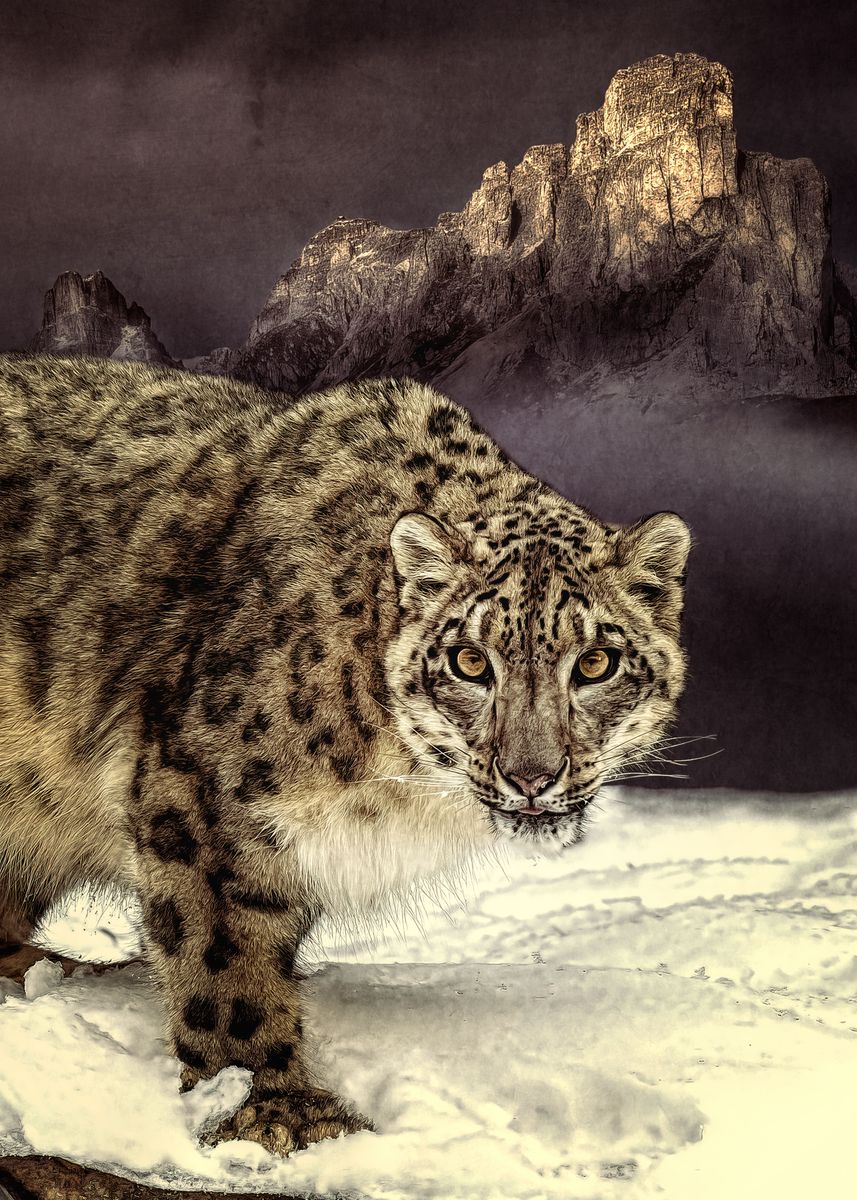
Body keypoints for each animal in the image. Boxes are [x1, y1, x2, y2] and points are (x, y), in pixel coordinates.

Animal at [0, 353, 691, 1154]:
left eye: (594, 664)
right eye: (469, 661)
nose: (531, 774)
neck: (395, 790)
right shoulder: (201, 800)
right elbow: (225, 968)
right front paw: (273, 1109)